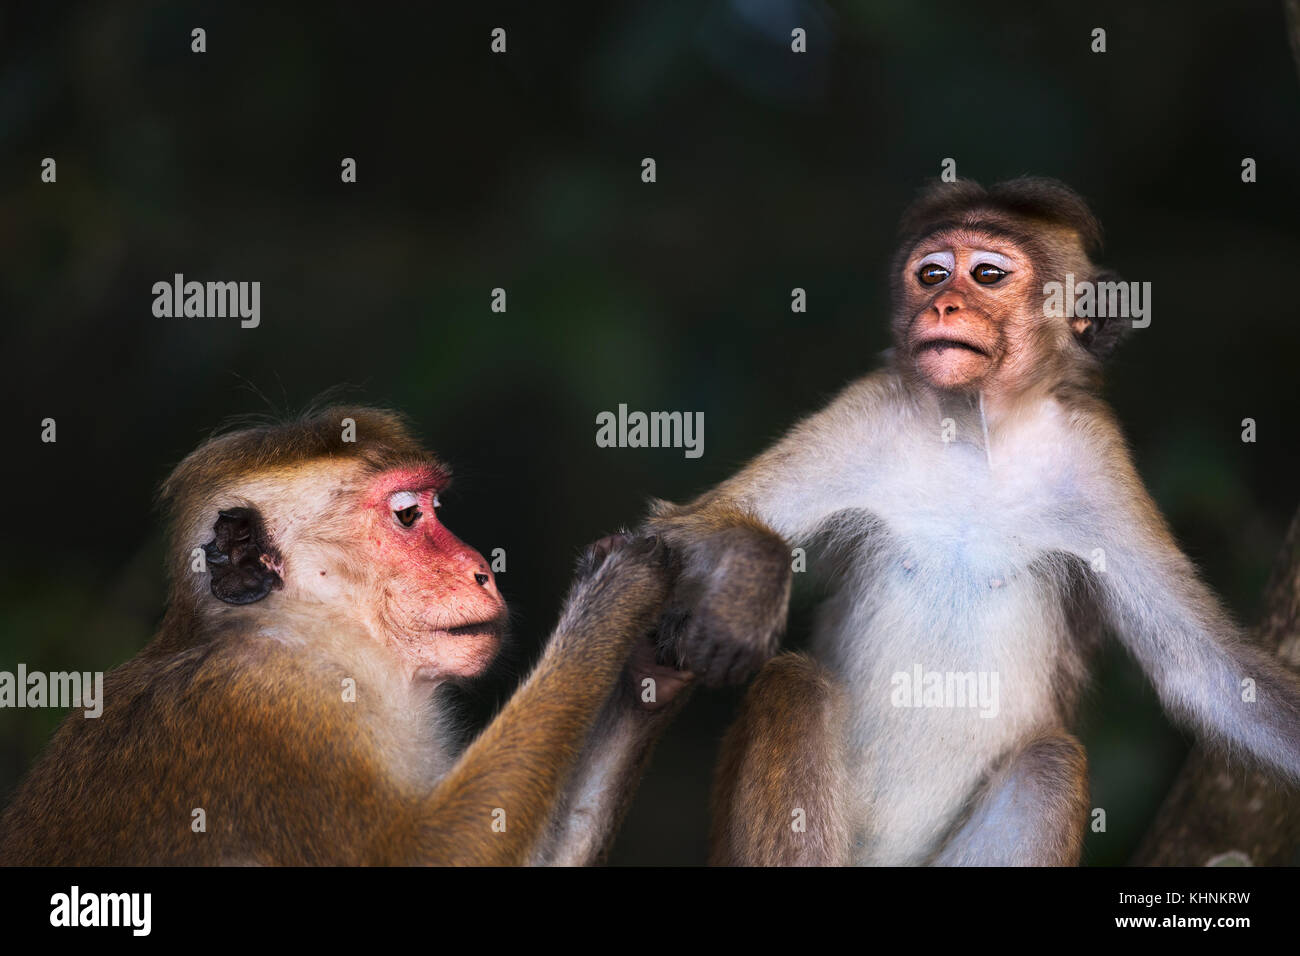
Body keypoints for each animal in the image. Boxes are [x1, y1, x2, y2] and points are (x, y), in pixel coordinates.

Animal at [0, 406, 694, 865]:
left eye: (434, 508)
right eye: (408, 515)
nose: (481, 570)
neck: (317, 639)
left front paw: (650, 669)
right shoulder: (270, 709)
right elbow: (427, 854)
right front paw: (612, 594)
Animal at [647, 178, 1300, 866]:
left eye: (986, 274)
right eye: (932, 274)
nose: (943, 306)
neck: (973, 437)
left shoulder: (1095, 457)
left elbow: (1210, 675)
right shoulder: (869, 407)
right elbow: (681, 530)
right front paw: (748, 589)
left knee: (1050, 764)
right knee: (795, 685)